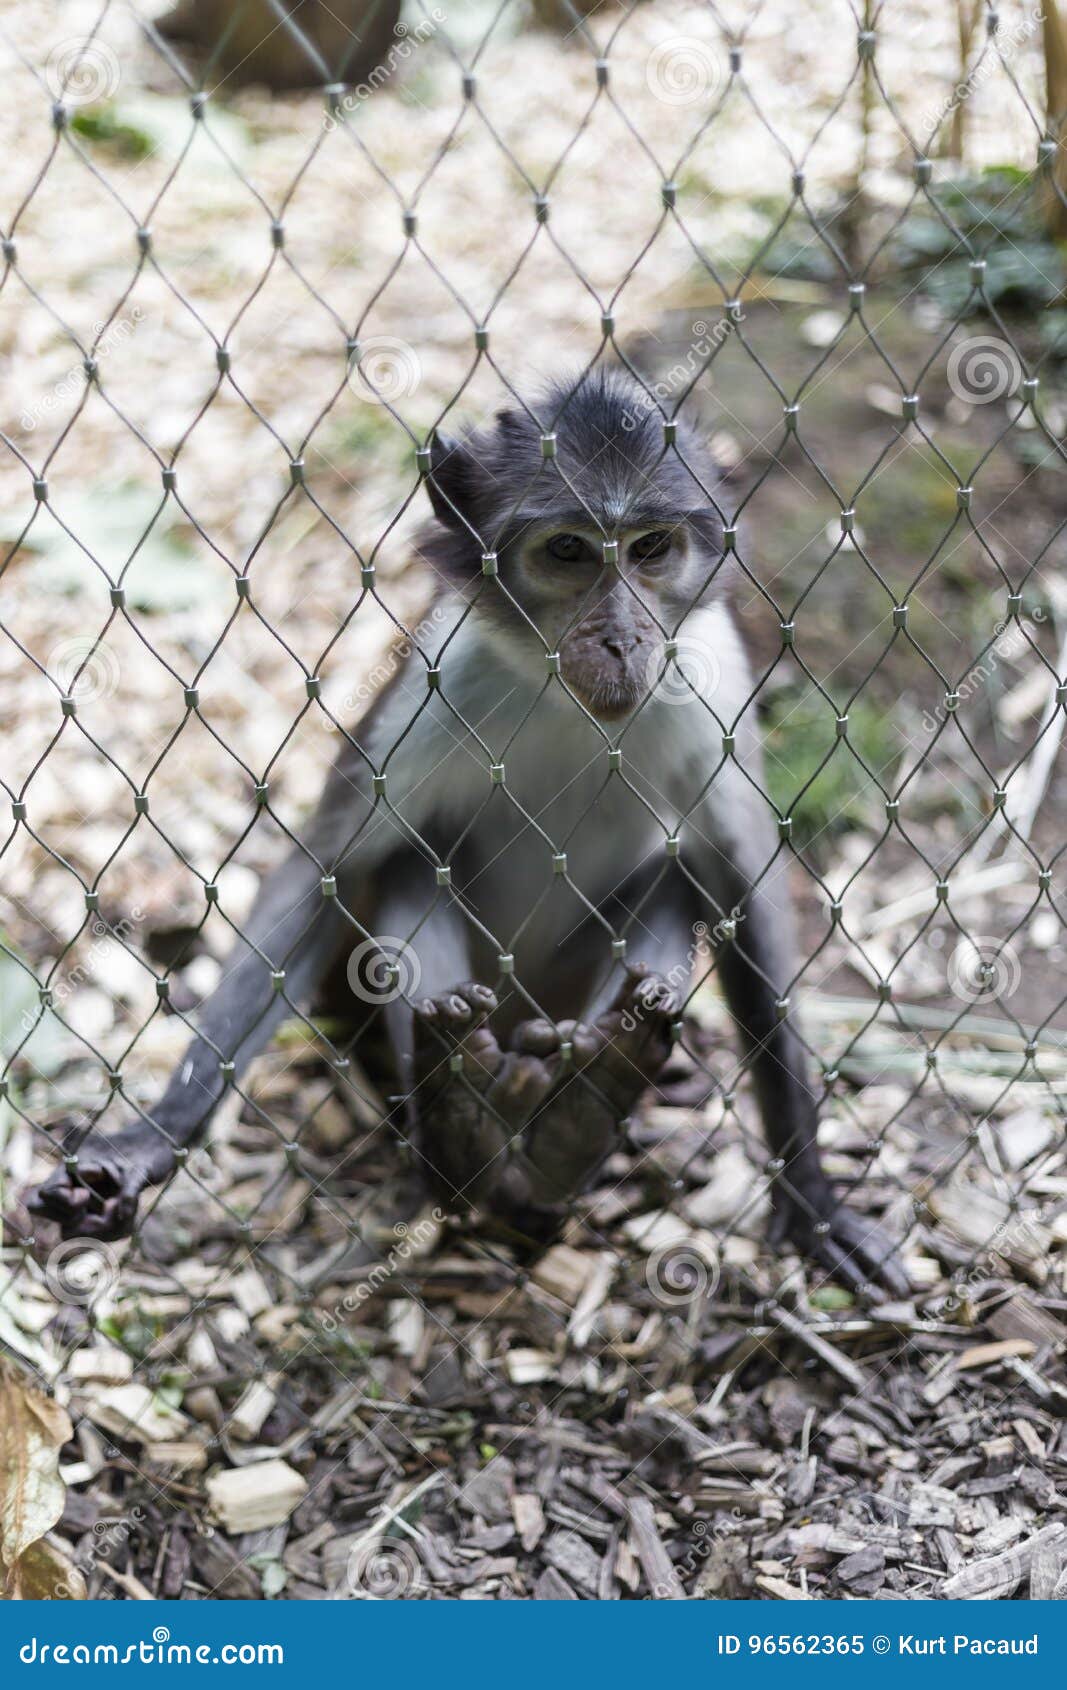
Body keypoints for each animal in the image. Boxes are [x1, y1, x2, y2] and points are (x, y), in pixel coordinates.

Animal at [28, 369, 907, 1295]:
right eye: (569, 552)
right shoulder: (437, 675)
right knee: (414, 866)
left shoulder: (710, 678)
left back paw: (576, 1118)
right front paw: (147, 1142)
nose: (620, 638)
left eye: (649, 549)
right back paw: (464, 1121)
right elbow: (327, 869)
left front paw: (812, 1198)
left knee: (666, 881)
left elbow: (739, 882)